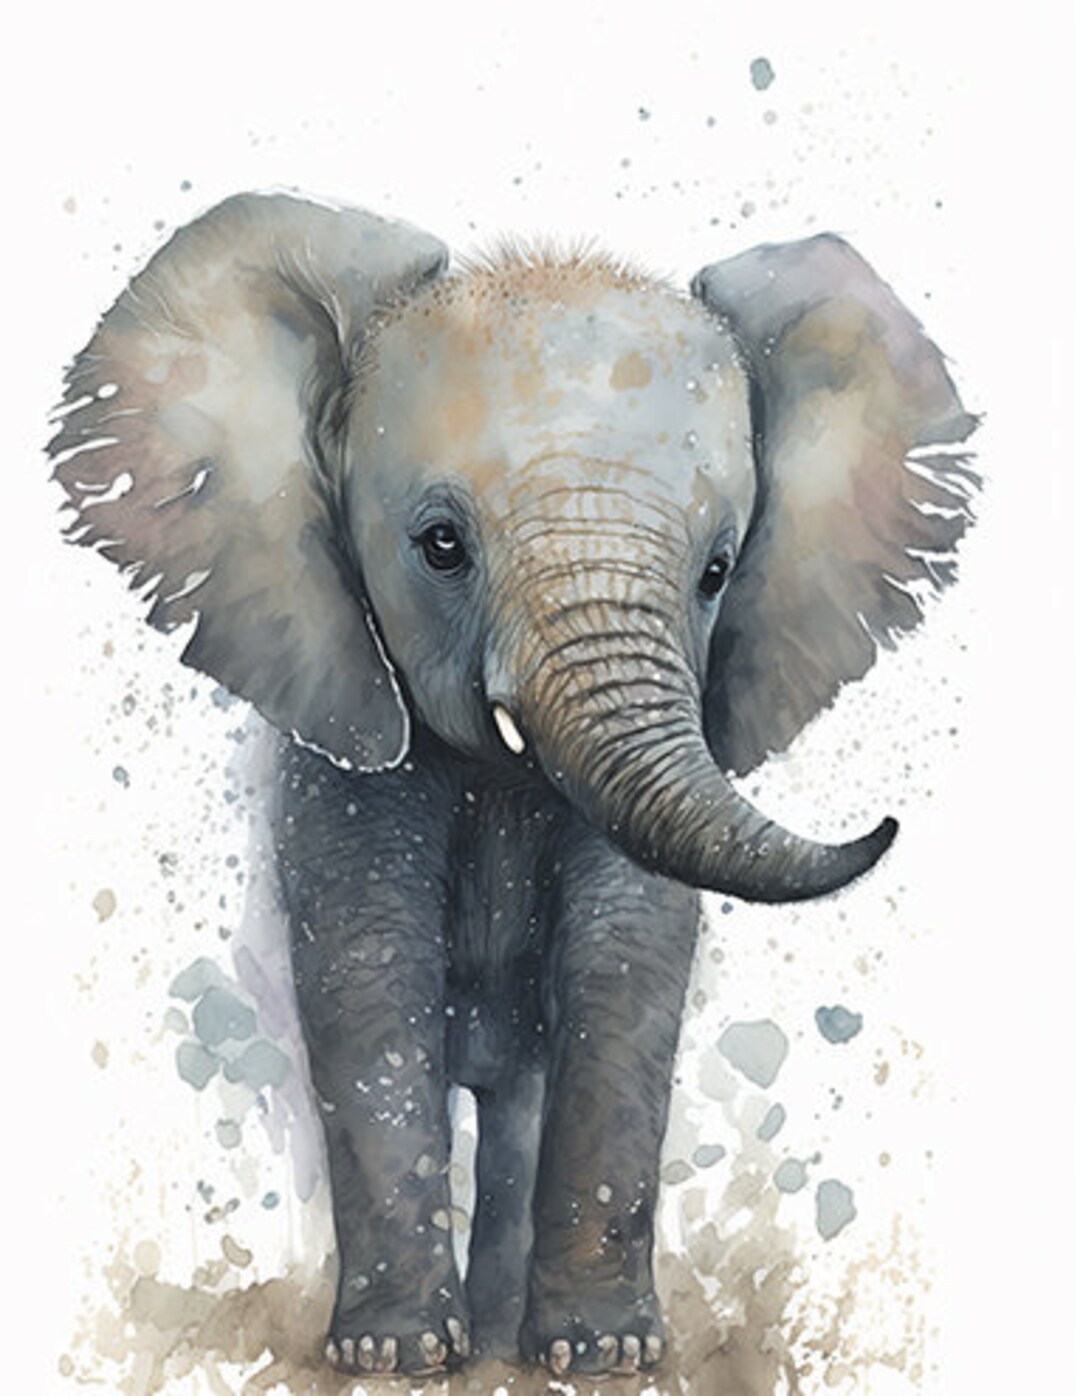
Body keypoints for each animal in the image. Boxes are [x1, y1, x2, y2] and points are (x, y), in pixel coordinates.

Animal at [49, 192, 977, 1378]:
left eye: (718, 572)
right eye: (440, 546)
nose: (886, 823)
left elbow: (625, 963)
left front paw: (604, 1353)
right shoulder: (342, 732)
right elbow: (370, 973)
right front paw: (395, 1356)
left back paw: (506, 1333)